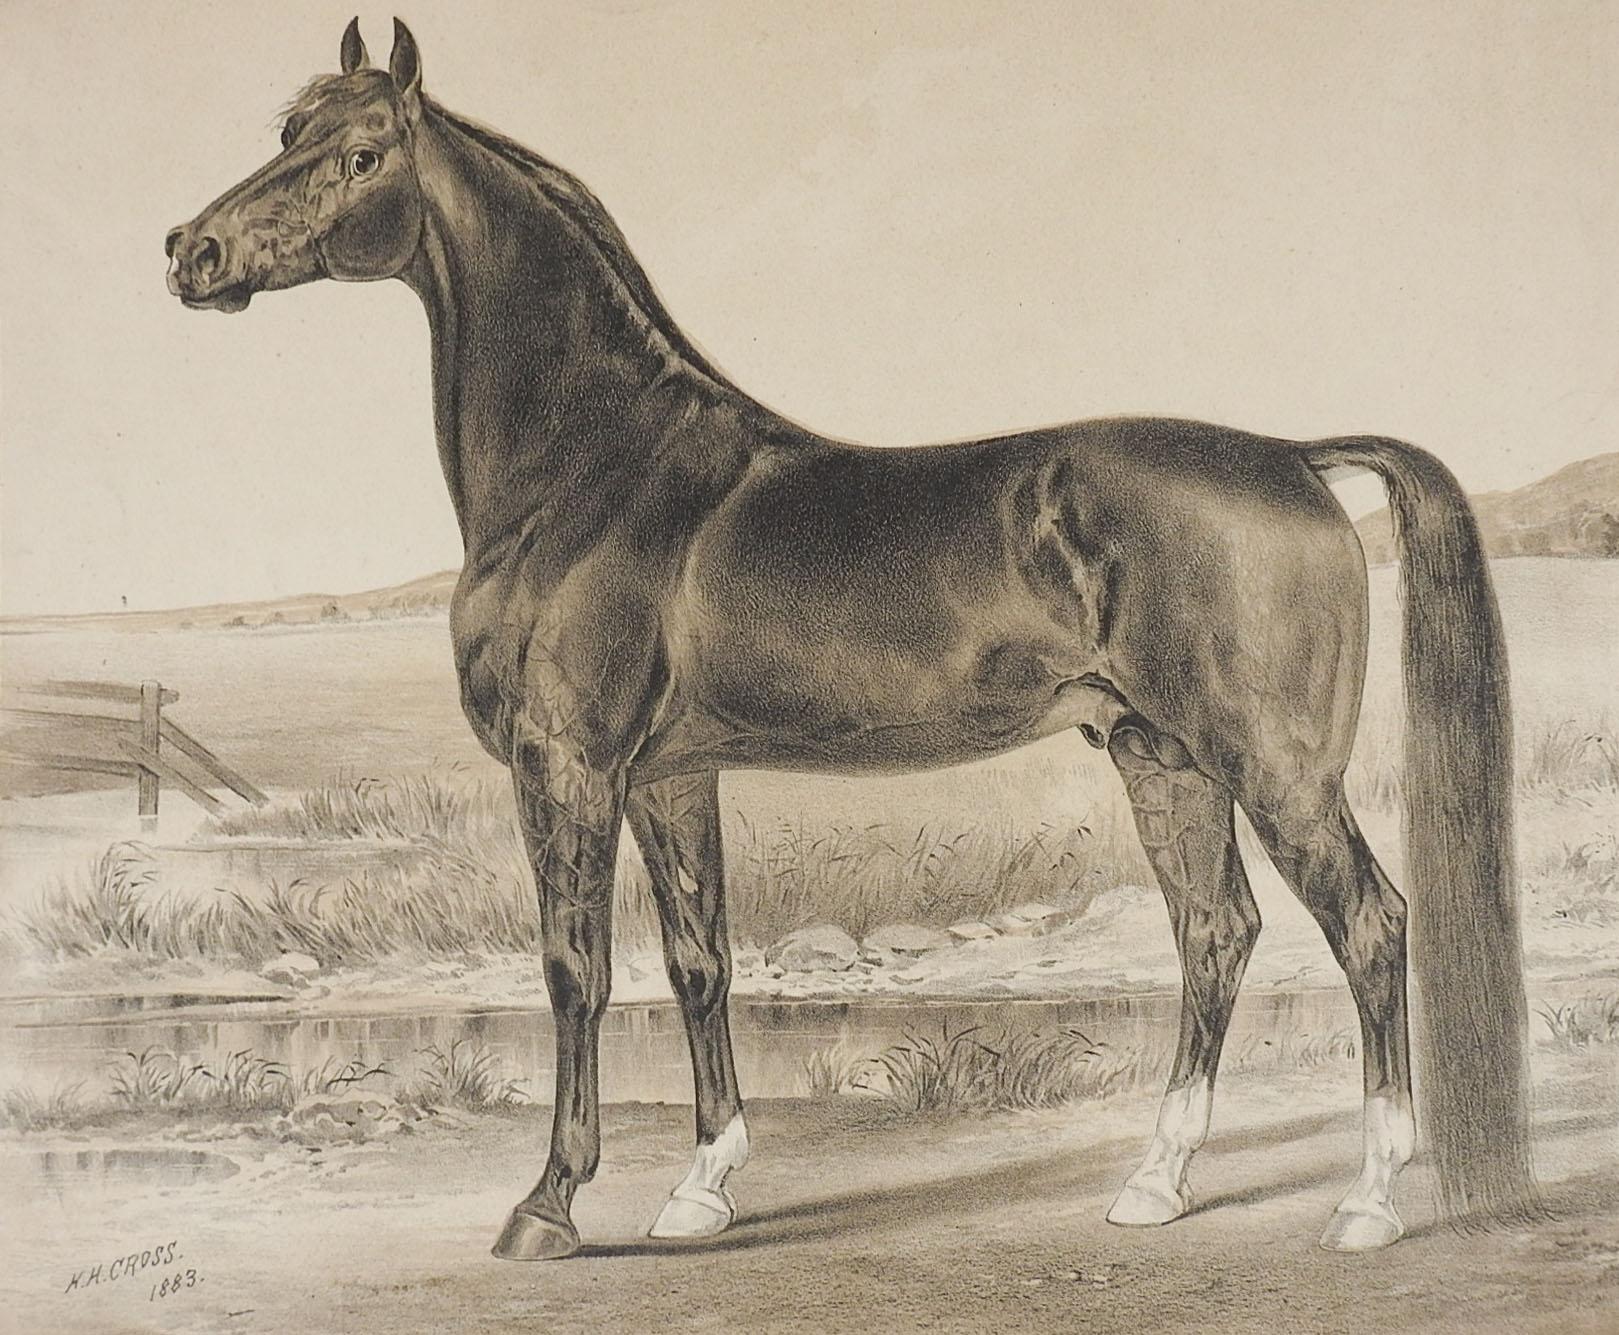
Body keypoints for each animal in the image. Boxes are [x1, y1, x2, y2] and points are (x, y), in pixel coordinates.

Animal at [166, 18, 1538, 1261]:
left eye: (358, 154)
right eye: (286, 135)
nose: (193, 251)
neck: (590, 469)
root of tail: (1291, 459)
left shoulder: (569, 769)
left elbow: (572, 969)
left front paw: (546, 1207)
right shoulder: (669, 776)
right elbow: (699, 962)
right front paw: (700, 1190)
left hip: (1273, 771)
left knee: (1367, 926)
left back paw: (1366, 1203)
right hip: (1162, 759)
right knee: (1215, 935)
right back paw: (1153, 1184)